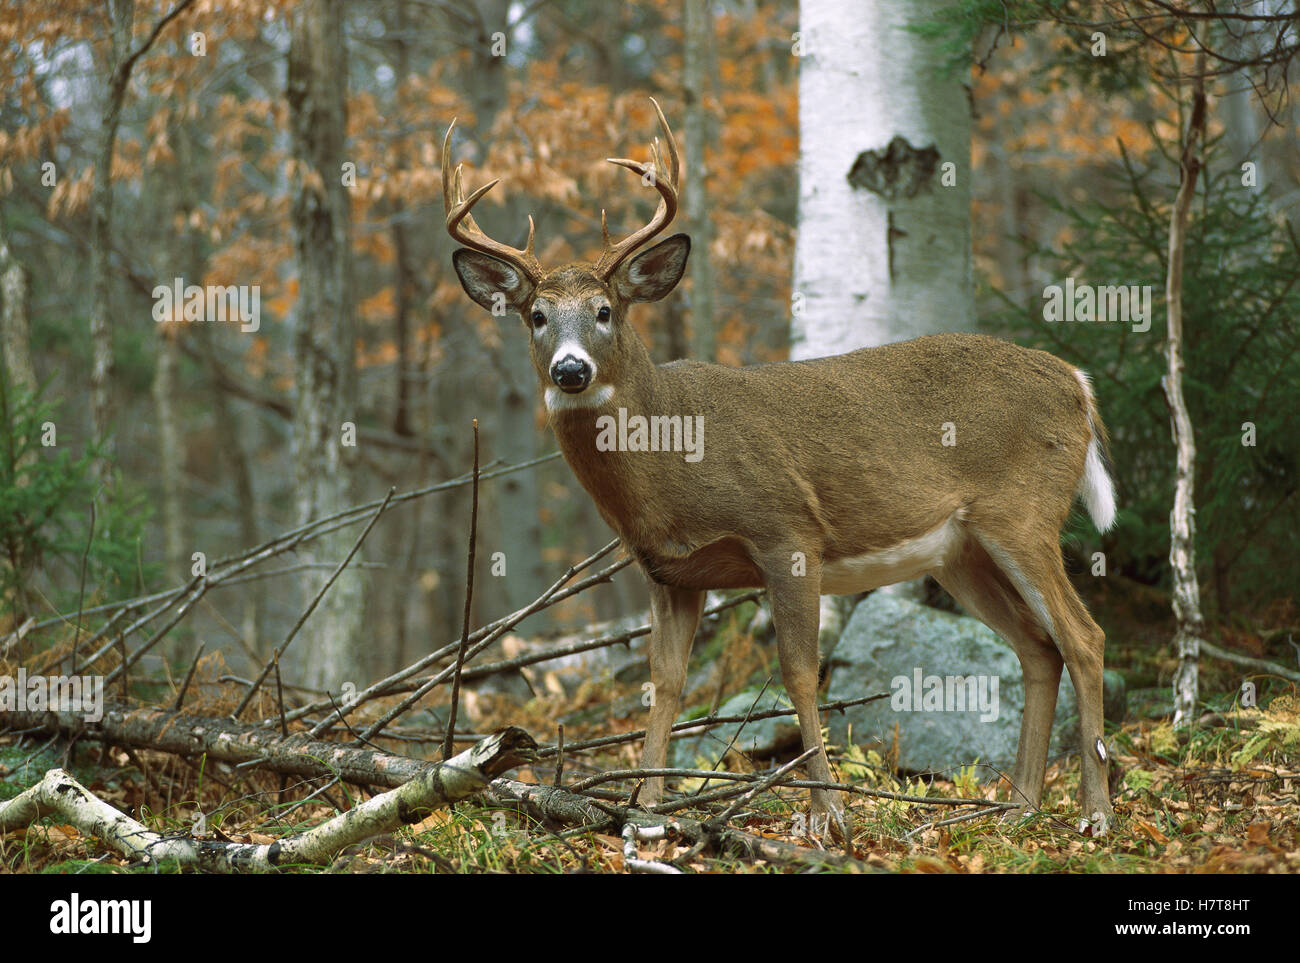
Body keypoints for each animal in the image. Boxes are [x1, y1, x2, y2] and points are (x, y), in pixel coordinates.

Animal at [442, 100, 1117, 837]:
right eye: (535, 315)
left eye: (604, 310)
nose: (571, 370)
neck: (669, 455)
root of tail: (1077, 383)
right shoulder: (669, 573)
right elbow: (666, 682)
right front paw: (644, 809)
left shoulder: (786, 530)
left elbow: (799, 672)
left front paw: (827, 815)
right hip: (960, 550)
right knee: (1038, 647)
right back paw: (1017, 807)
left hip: (1022, 511)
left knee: (1084, 637)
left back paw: (1095, 813)